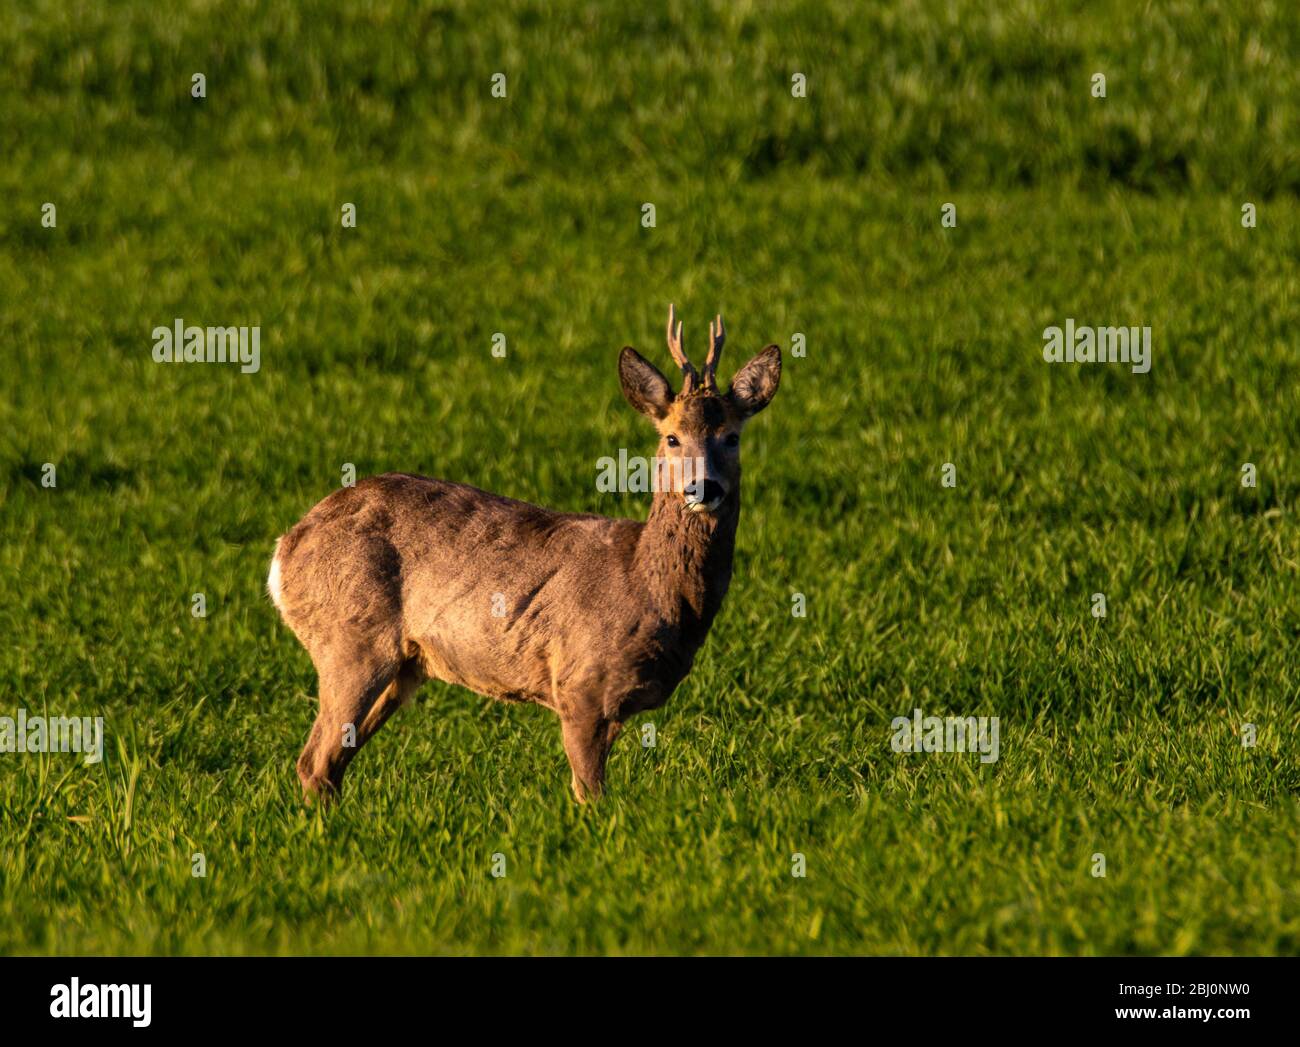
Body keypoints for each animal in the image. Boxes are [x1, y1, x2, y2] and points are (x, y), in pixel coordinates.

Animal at [267, 306, 781, 803]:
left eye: (732, 437)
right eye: (672, 437)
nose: (704, 487)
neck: (649, 587)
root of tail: (286, 549)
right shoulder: (579, 686)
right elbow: (590, 795)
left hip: (401, 665)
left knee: (330, 766)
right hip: (349, 637)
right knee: (313, 761)